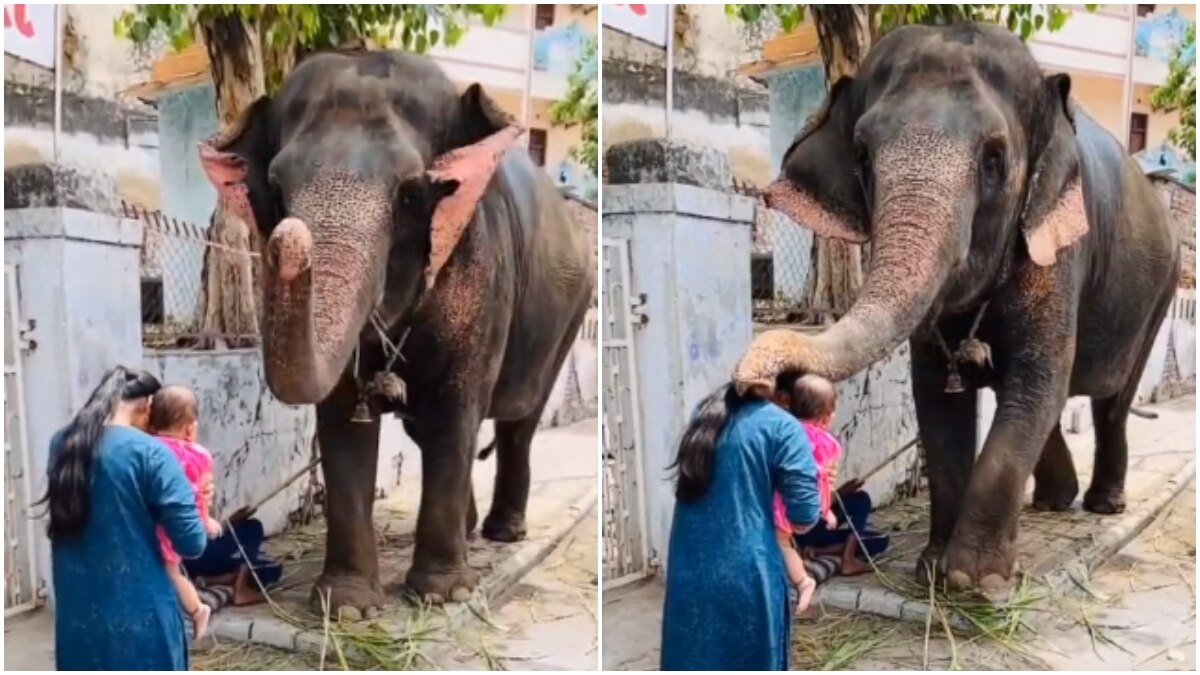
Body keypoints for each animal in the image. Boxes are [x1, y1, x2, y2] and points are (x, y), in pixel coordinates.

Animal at [197, 49, 595, 613]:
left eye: (410, 193)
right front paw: (346, 607)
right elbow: (343, 419)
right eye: (275, 187)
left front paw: (443, 596)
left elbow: (455, 411)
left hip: (569, 316)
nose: (288, 238)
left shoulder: (484, 270)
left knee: (517, 422)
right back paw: (470, 531)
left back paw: (502, 534)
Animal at [734, 23, 1179, 592]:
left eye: (993, 158)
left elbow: (1037, 383)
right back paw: (1053, 501)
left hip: (1161, 292)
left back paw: (1103, 505)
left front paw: (975, 580)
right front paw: (932, 572)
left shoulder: (1057, 250)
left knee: (1111, 401)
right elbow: (937, 398)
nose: (754, 382)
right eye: (862, 154)